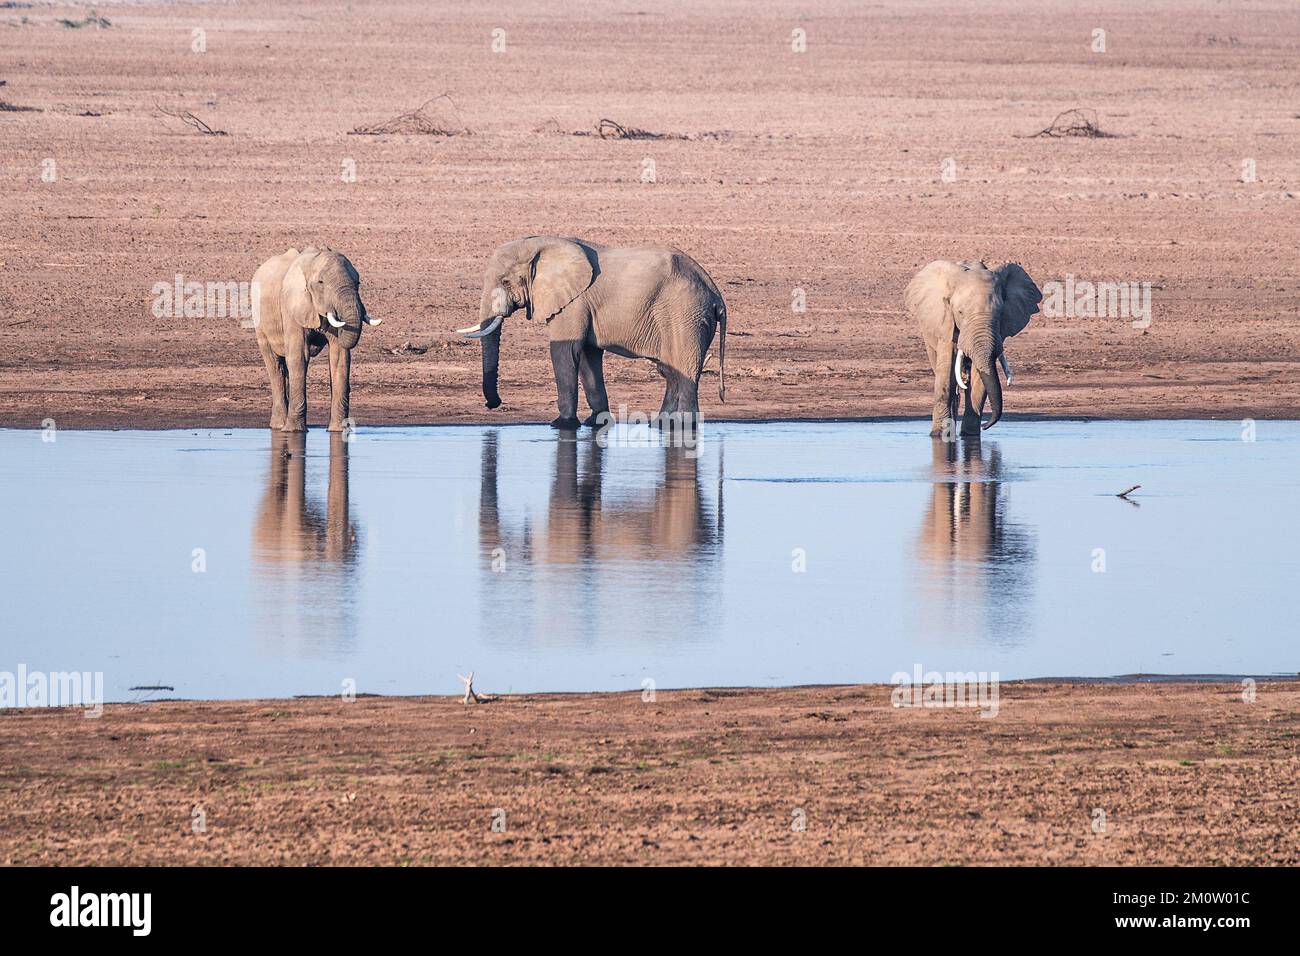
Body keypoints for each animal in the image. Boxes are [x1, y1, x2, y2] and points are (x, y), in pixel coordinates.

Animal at [251, 247, 380, 432]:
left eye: (358, 283)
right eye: (321, 282)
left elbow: (339, 357)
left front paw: (339, 431)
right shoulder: (291, 307)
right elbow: (299, 356)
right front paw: (294, 431)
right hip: (260, 322)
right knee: (275, 365)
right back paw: (279, 425)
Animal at [456, 236, 727, 430]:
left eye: (505, 282)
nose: (493, 403)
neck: (544, 245)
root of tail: (715, 293)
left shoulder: (573, 302)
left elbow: (564, 350)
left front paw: (561, 425)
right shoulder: (583, 306)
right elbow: (588, 355)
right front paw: (596, 423)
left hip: (686, 314)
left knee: (684, 370)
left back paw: (684, 427)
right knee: (671, 371)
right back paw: (661, 426)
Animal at [904, 259, 1041, 437]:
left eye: (1000, 313)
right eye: (960, 312)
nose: (985, 425)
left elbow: (981, 375)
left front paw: (970, 435)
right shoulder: (946, 323)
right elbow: (947, 370)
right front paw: (939, 435)